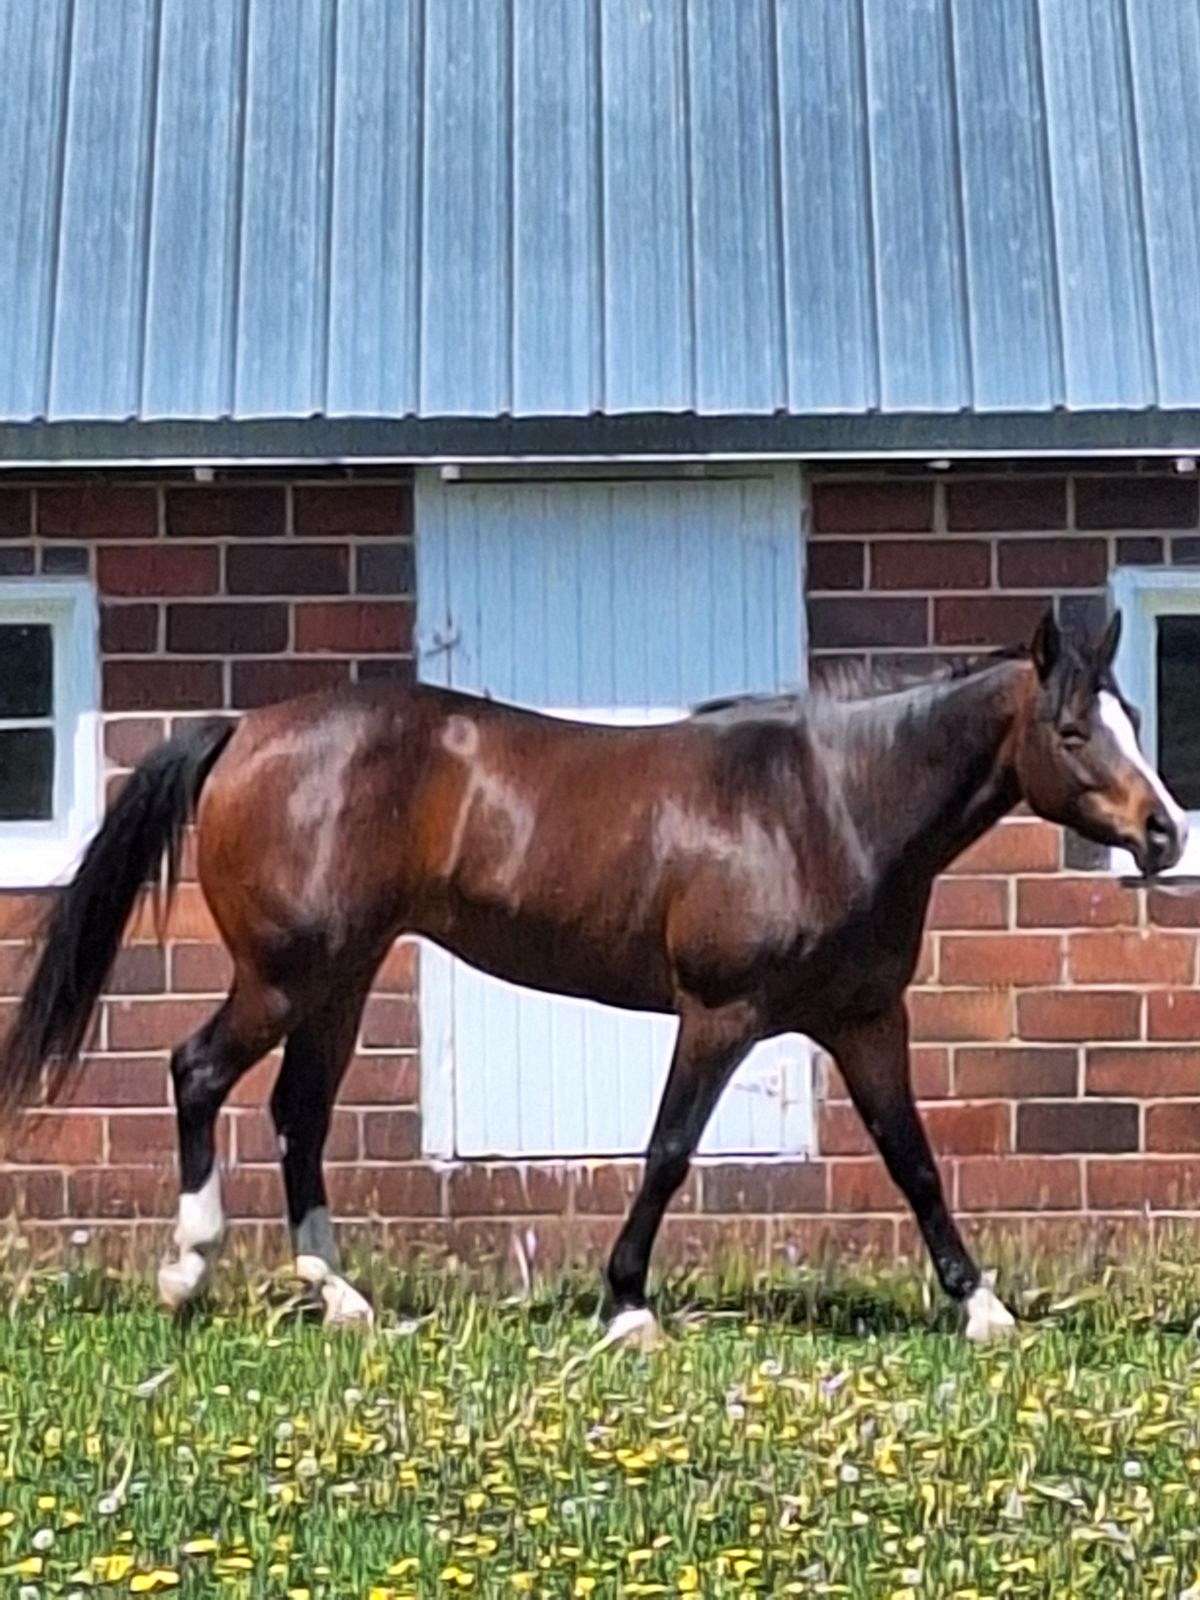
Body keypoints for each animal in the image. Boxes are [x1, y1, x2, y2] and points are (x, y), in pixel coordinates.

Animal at [0, 609, 1185, 1341]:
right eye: (1072, 729)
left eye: (1132, 718)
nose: (1165, 833)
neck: (826, 804)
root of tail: (246, 730)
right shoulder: (720, 1014)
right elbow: (666, 1152)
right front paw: (626, 1306)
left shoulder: (864, 1020)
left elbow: (915, 1161)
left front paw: (981, 1307)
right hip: (286, 976)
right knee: (199, 1071)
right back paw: (189, 1271)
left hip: (340, 979)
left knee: (300, 1111)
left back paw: (341, 1298)